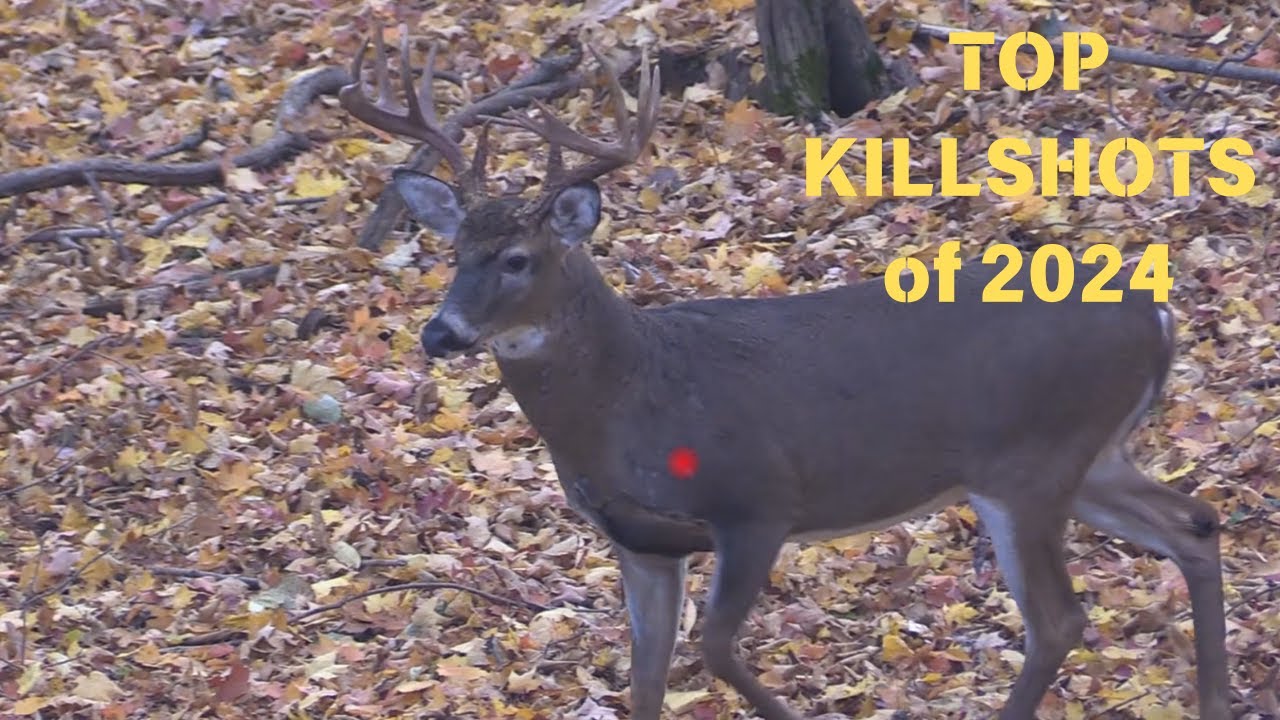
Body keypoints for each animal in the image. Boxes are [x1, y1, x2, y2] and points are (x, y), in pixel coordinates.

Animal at [339, 30, 1233, 720]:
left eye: (519, 259)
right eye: (456, 252)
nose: (440, 333)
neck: (632, 397)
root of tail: (1156, 314)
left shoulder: (758, 501)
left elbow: (715, 649)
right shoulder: (640, 543)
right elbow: (645, 683)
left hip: (1028, 464)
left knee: (1059, 620)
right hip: (1090, 455)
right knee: (1193, 522)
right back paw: (1216, 699)